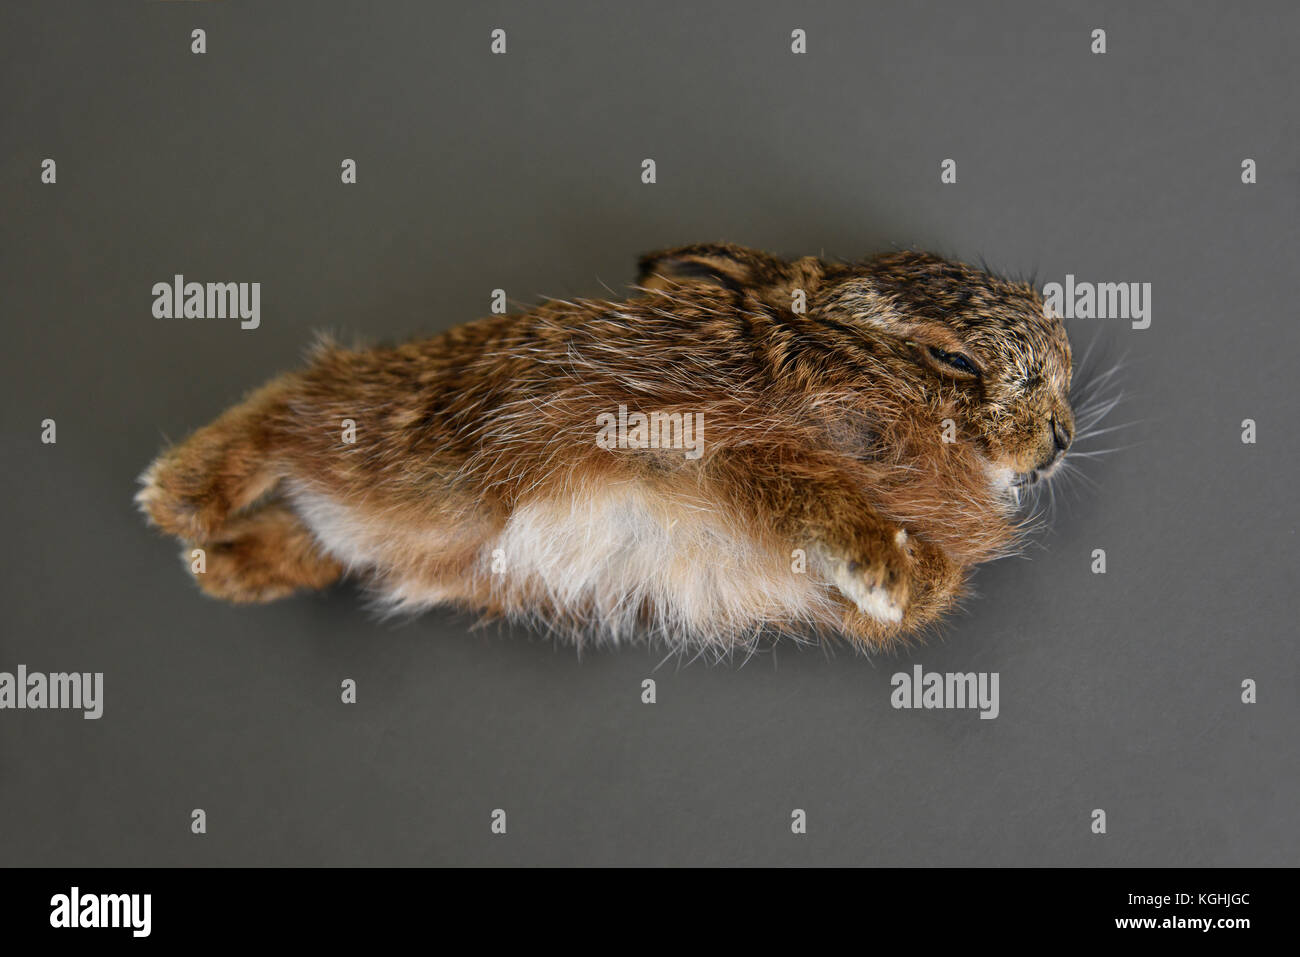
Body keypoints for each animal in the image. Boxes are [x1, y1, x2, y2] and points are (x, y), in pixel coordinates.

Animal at [136, 243, 1076, 653]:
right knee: (290, 407)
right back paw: (177, 497)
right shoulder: (714, 446)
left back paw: (221, 567)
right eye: (953, 358)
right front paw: (880, 571)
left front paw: (898, 586)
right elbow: (815, 495)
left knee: (316, 531)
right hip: (412, 448)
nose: (1061, 437)